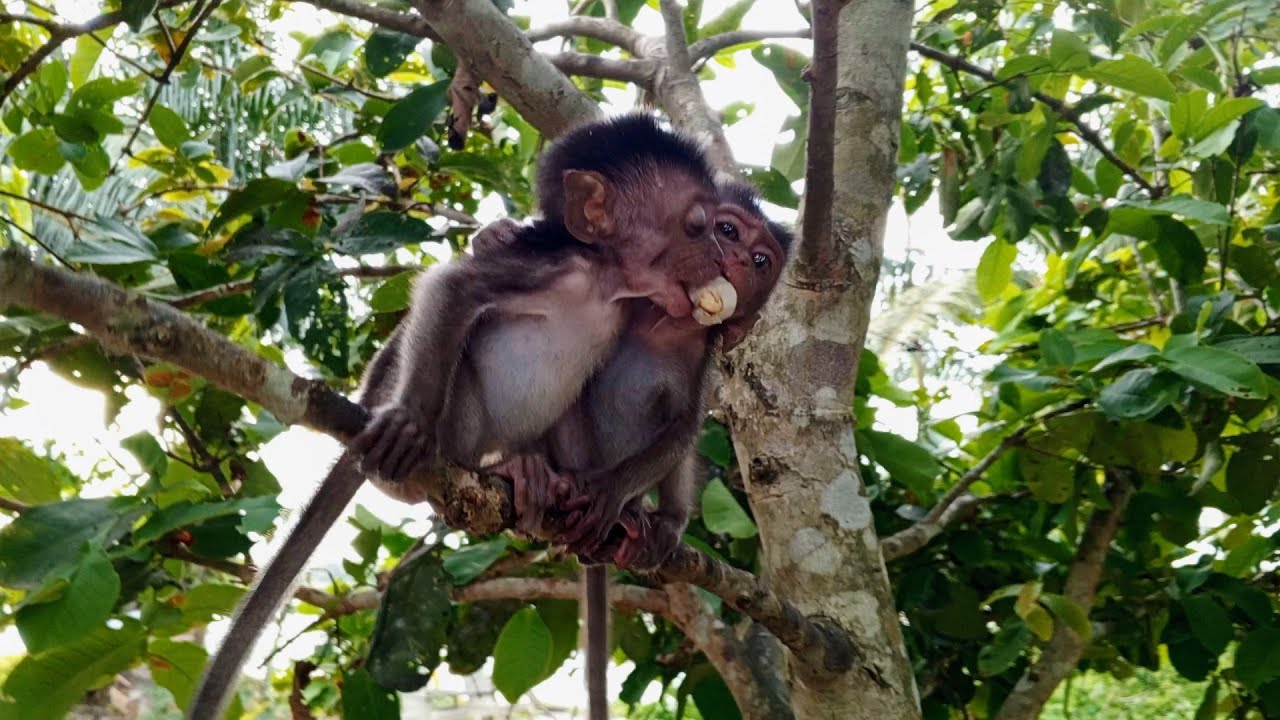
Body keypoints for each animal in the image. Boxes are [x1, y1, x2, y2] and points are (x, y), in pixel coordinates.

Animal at [187, 114, 730, 720]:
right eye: (697, 227)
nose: (718, 259)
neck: (603, 282)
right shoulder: (551, 265)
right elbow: (453, 289)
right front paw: (411, 422)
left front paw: (621, 499)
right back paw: (481, 465)